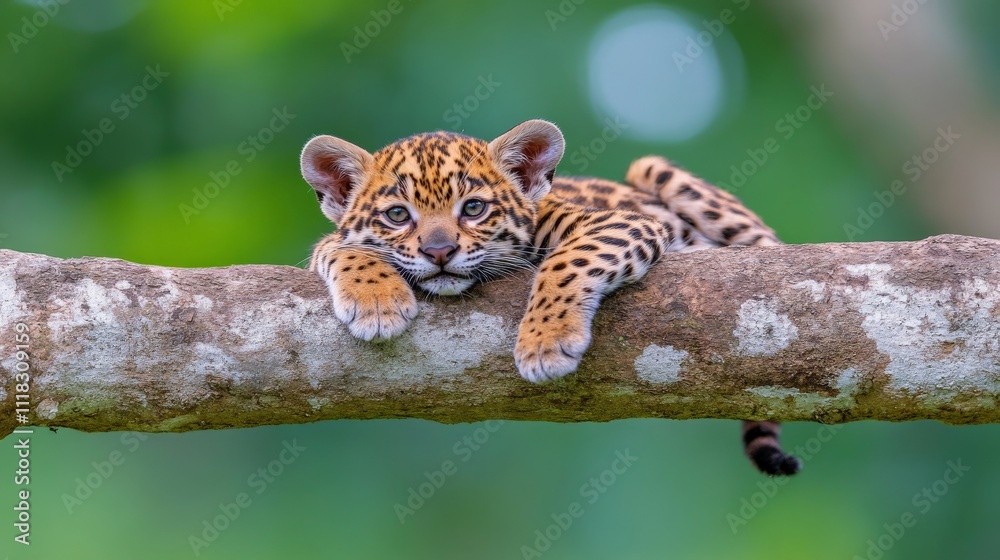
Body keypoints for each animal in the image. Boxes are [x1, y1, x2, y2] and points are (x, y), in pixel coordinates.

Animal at [299, 119, 800, 476]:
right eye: (398, 215)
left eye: (474, 208)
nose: (439, 251)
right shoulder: (331, 245)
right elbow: (336, 247)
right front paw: (377, 302)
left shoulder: (620, 222)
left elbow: (567, 262)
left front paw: (544, 343)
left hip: (659, 174)